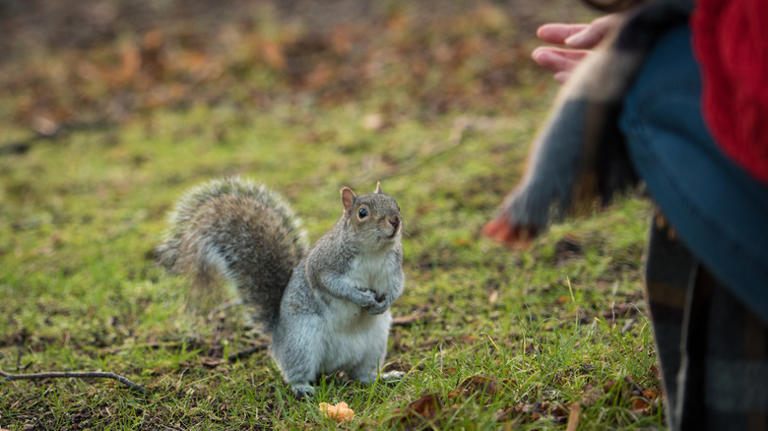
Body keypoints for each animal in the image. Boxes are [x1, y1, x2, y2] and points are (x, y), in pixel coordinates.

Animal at [156, 177, 405, 397]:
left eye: (397, 204)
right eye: (362, 213)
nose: (395, 221)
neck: (374, 251)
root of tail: (277, 335)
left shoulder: (395, 269)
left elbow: (398, 286)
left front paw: (385, 303)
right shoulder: (323, 265)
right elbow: (333, 285)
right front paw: (361, 298)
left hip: (374, 344)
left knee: (359, 374)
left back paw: (383, 377)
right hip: (301, 342)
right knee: (296, 372)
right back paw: (301, 387)